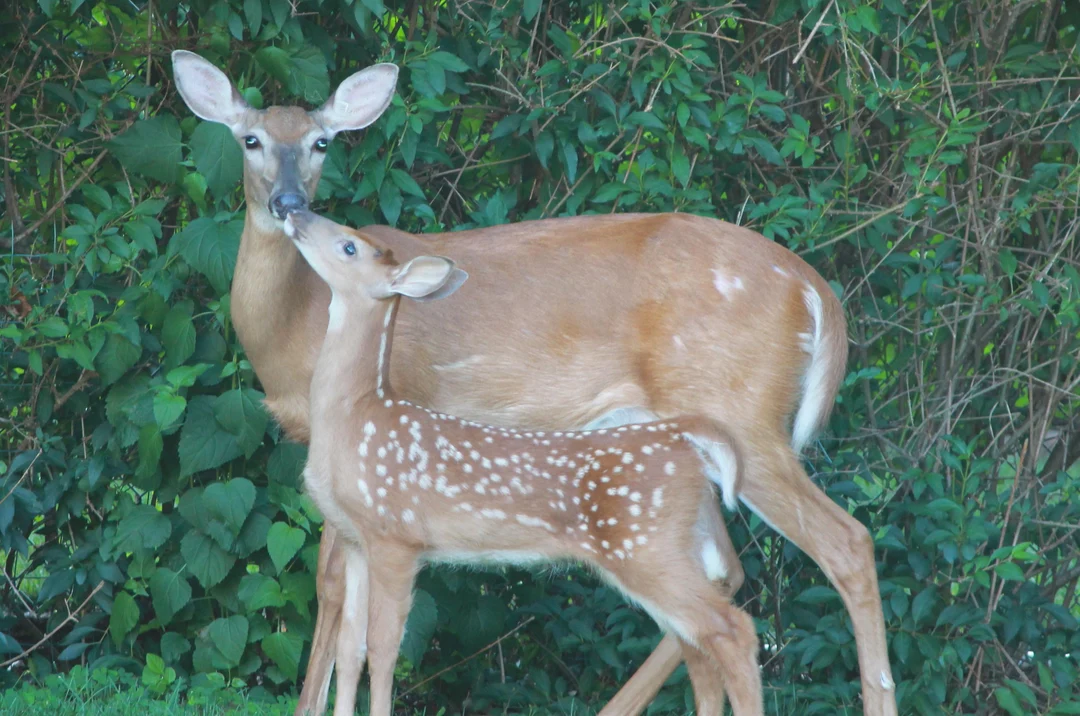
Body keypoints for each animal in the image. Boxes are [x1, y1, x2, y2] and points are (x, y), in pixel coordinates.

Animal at [285, 208, 764, 716]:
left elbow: (383, 649)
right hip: (672, 547)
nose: (293, 211)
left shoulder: (396, 535)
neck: (355, 415)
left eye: (349, 246)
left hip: (647, 547)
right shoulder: (355, 539)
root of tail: (681, 437)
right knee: (700, 644)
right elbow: (349, 650)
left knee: (733, 630)